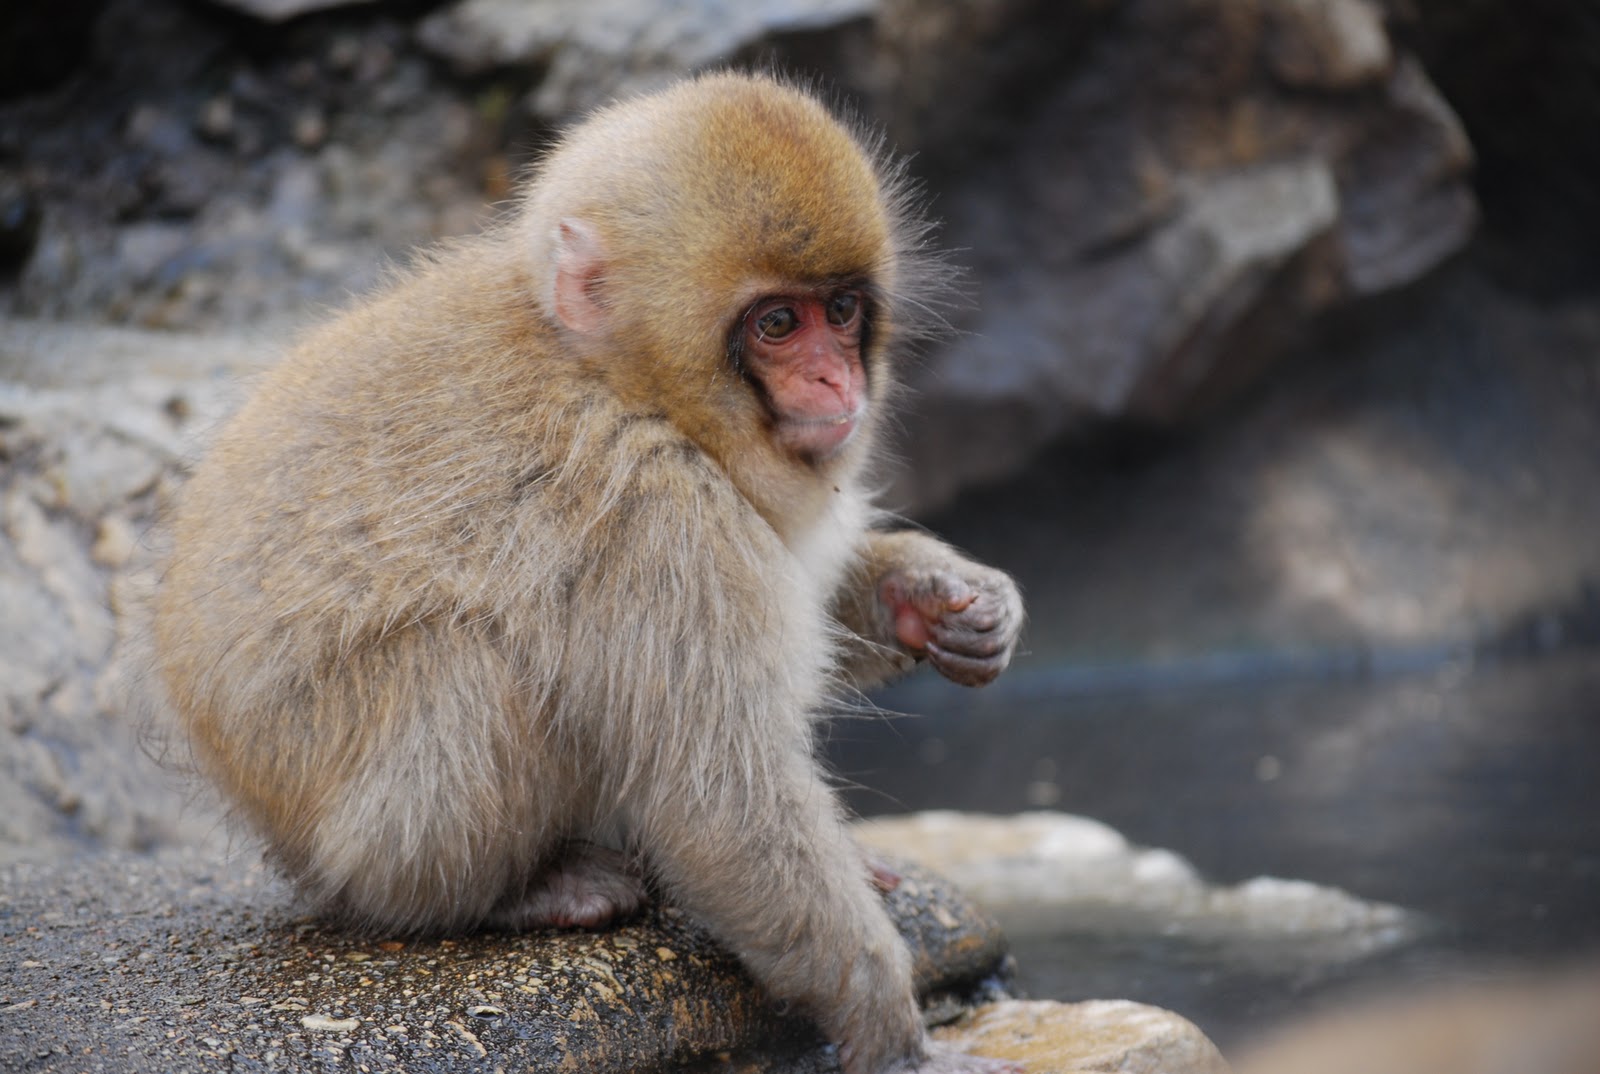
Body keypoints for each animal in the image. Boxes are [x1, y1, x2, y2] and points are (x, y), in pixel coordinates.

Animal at [153, 72, 1024, 1074]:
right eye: (777, 324)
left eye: (840, 312)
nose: (837, 386)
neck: (626, 380)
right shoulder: (656, 514)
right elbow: (720, 801)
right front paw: (889, 1026)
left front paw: (935, 596)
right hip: (351, 834)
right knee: (466, 671)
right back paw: (502, 893)